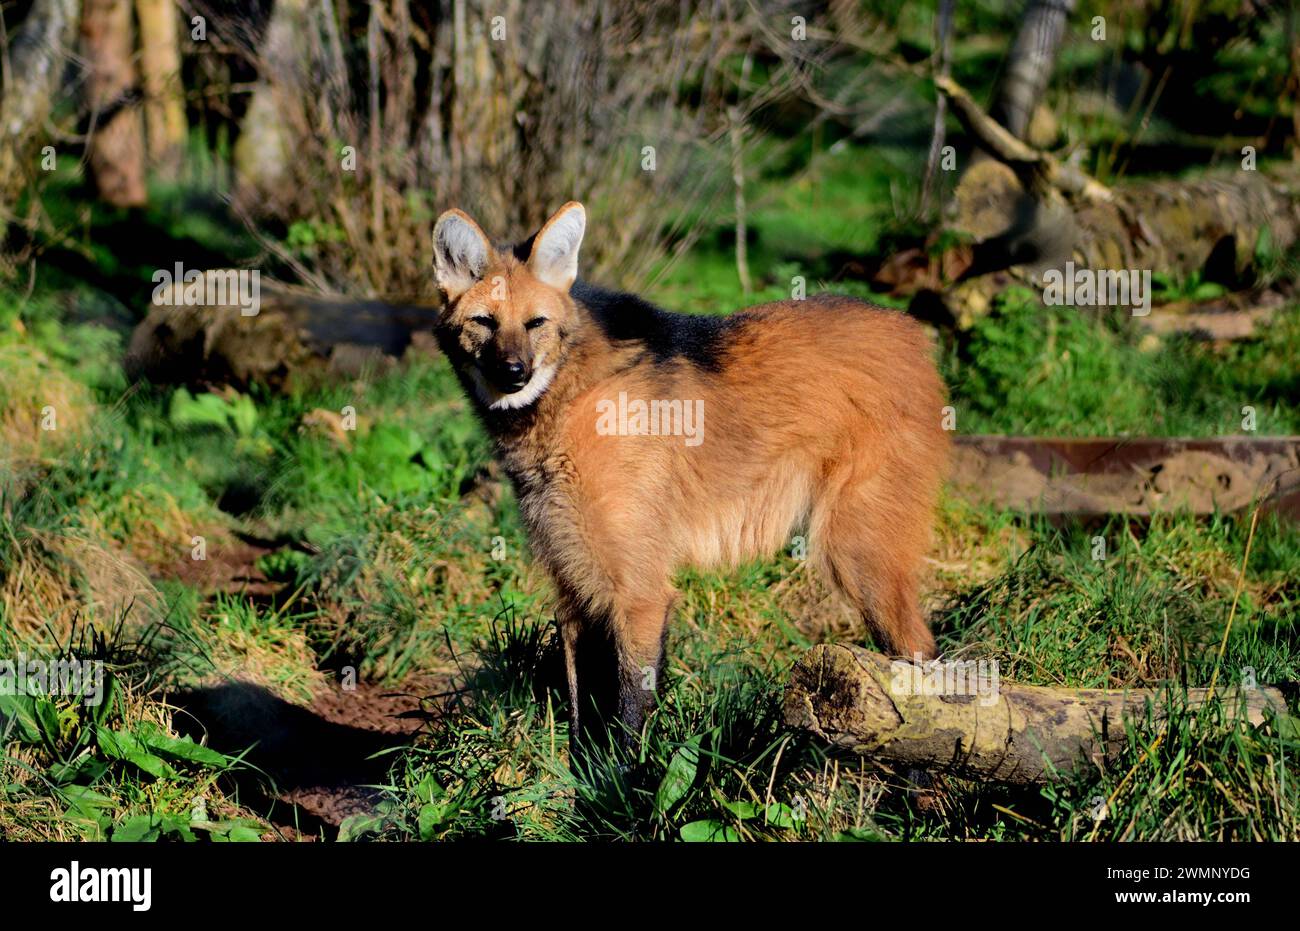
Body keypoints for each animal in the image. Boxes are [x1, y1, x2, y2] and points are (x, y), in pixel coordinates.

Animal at [432, 201, 949, 747]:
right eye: (485, 322)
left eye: (535, 324)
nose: (514, 373)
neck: (568, 402)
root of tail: (909, 329)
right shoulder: (573, 587)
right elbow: (580, 714)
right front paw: (582, 770)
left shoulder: (639, 592)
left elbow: (629, 711)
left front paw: (623, 771)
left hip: (854, 552)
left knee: (920, 655)